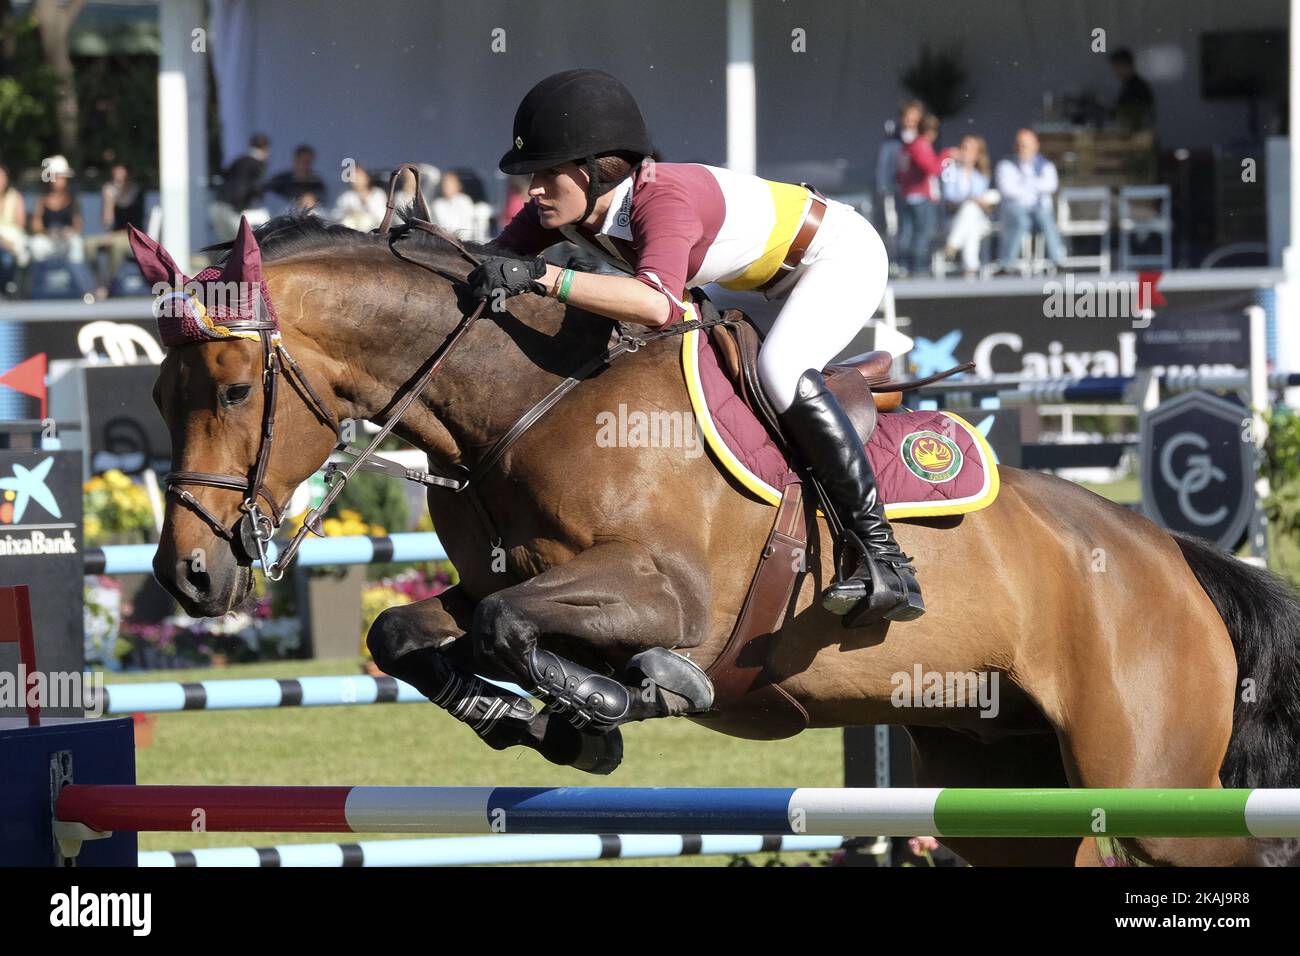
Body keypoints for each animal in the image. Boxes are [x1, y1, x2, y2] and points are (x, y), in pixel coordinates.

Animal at [138, 212, 1300, 867]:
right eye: (158, 392)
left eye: (234, 389)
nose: (189, 576)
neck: (528, 398)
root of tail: (1170, 560)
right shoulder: (519, 579)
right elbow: (415, 633)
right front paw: (544, 720)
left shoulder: (670, 593)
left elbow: (524, 628)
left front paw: (625, 697)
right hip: (1003, 791)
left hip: (1156, 796)